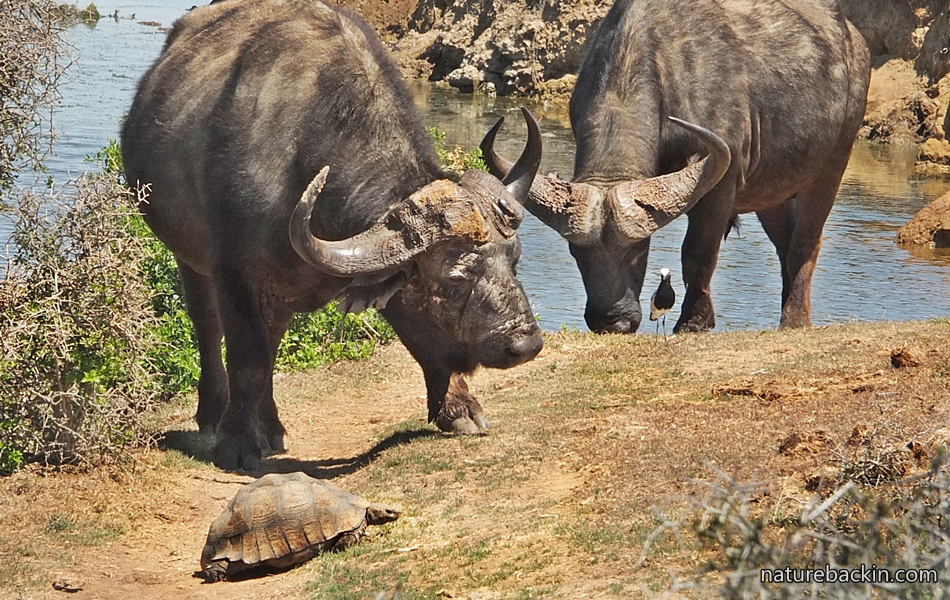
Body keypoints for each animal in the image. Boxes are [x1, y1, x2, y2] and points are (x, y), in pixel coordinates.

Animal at [122, 0, 544, 471]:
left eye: (515, 260)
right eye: (454, 281)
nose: (525, 343)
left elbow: (423, 342)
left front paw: (459, 408)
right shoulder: (235, 275)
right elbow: (247, 359)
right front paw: (237, 443)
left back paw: (271, 426)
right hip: (187, 257)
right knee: (208, 328)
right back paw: (215, 414)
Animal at [485, 0, 871, 333]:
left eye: (639, 250)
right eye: (576, 251)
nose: (613, 321)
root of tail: (854, 41)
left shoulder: (720, 184)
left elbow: (697, 253)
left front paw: (694, 321)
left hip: (832, 165)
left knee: (806, 242)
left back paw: (794, 319)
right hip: (772, 192)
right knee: (784, 244)